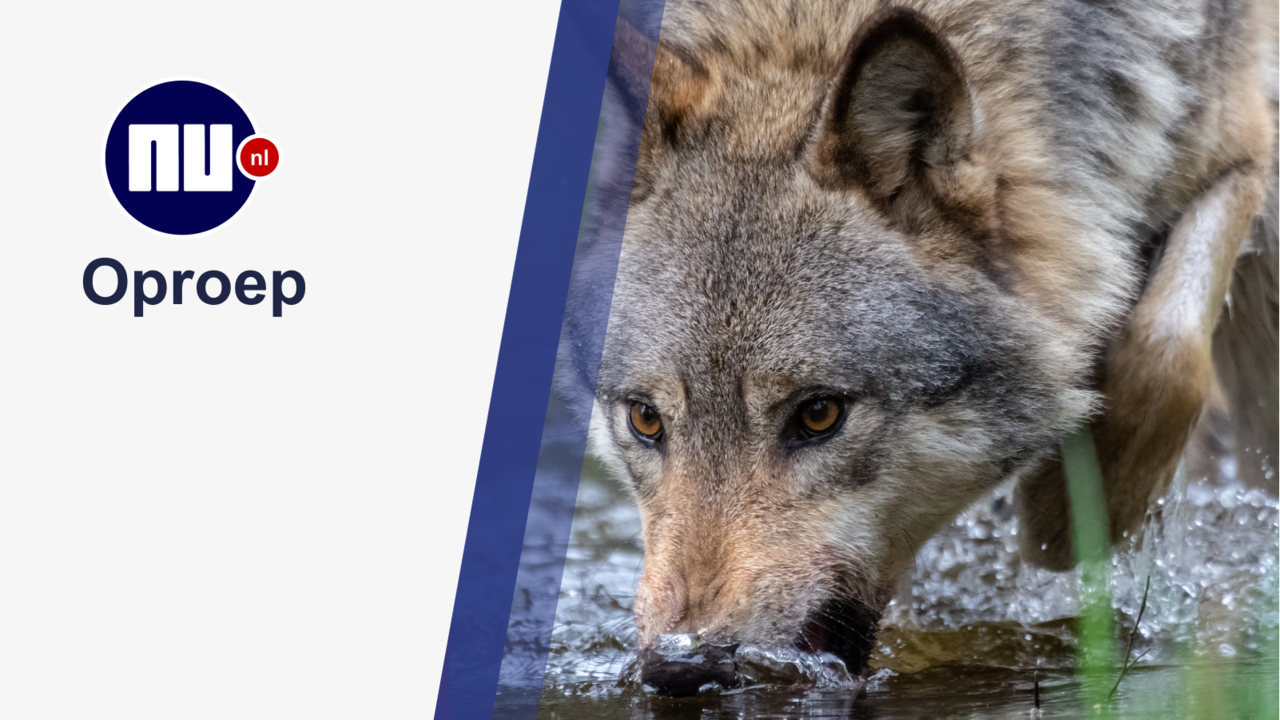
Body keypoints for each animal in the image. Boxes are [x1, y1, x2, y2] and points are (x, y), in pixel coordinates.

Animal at [563, 0, 1280, 695]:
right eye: (645, 419)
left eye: (818, 414)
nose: (682, 668)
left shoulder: (1240, 137)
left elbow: (1166, 351)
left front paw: (1070, 519)